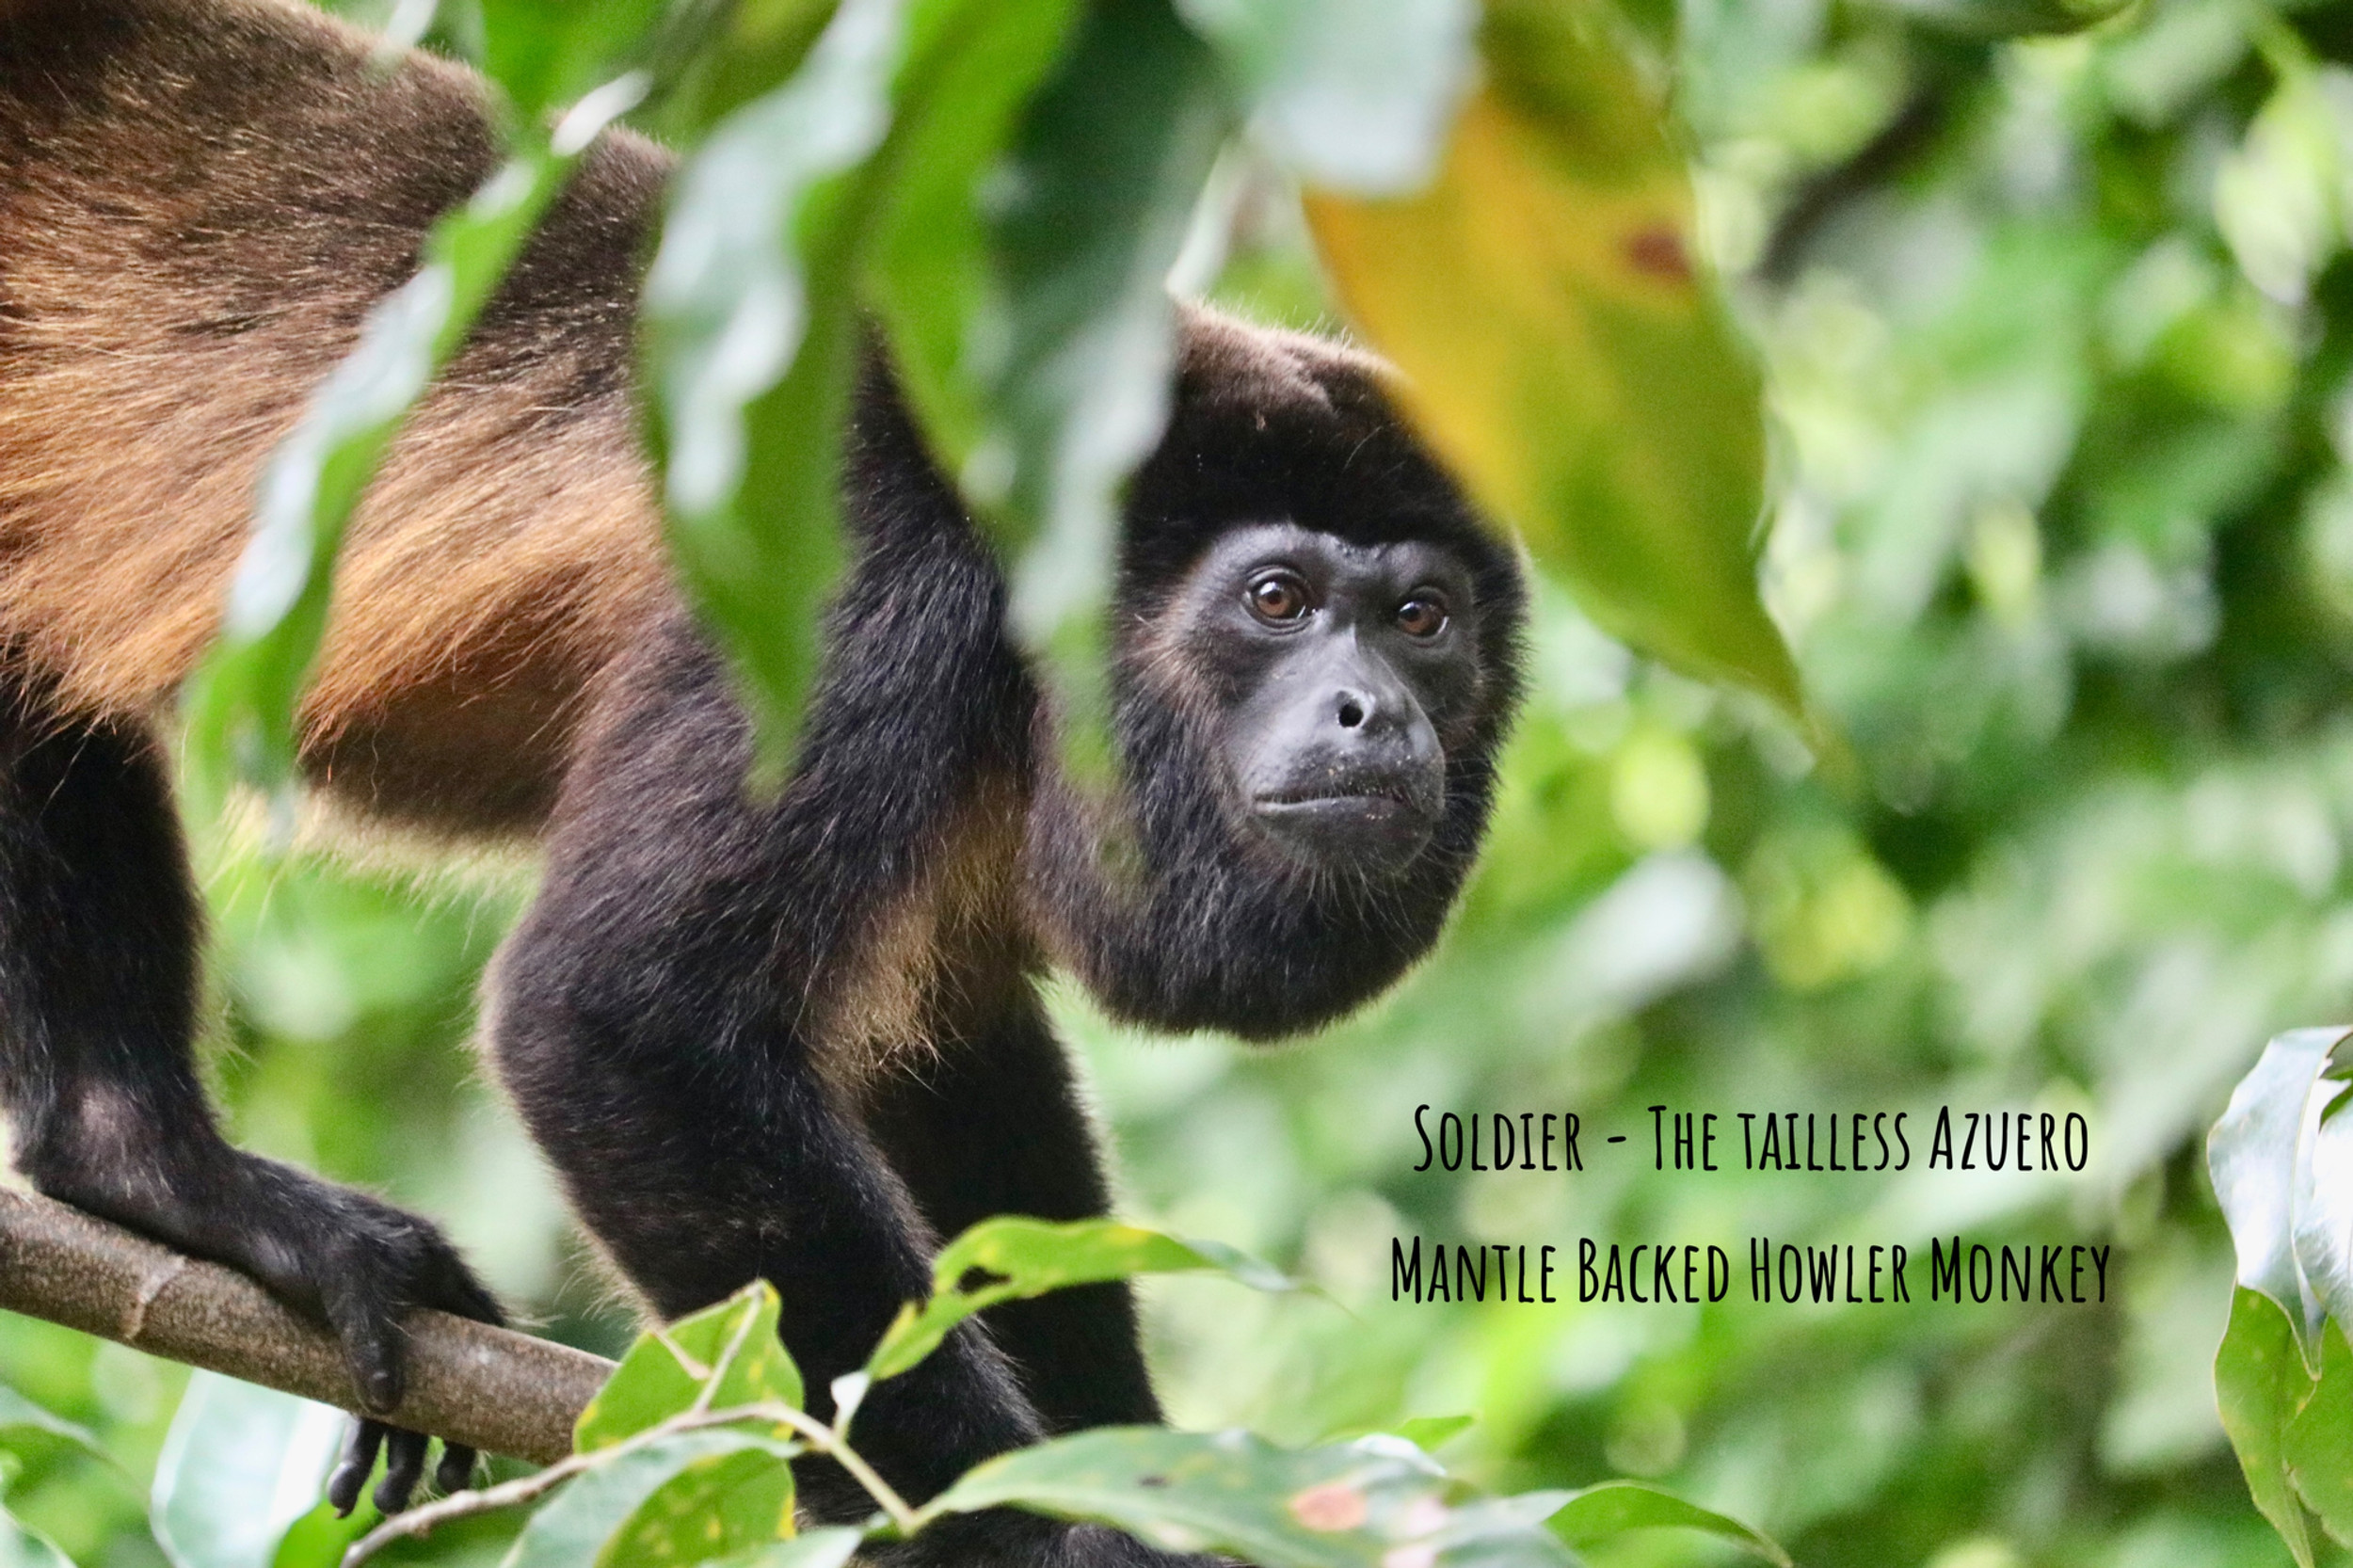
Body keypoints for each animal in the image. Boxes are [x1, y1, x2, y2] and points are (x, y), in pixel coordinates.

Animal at [0, 0, 1526, 1559]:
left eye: (1423, 620)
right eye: (1277, 598)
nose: (1375, 716)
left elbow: (947, 1065)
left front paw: (1140, 1461)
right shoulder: (874, 581)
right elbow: (615, 1012)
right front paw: (1030, 1527)